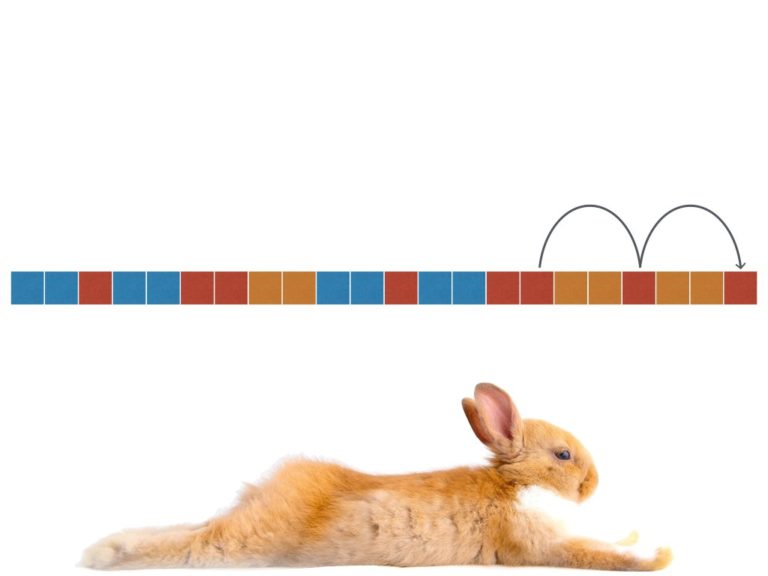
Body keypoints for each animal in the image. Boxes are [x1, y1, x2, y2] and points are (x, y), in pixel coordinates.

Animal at [81, 383, 671, 570]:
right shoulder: (537, 547)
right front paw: (658, 557)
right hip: (245, 544)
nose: (594, 485)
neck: (514, 486)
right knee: (191, 545)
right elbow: (595, 554)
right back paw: (103, 555)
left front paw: (641, 537)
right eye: (564, 455)